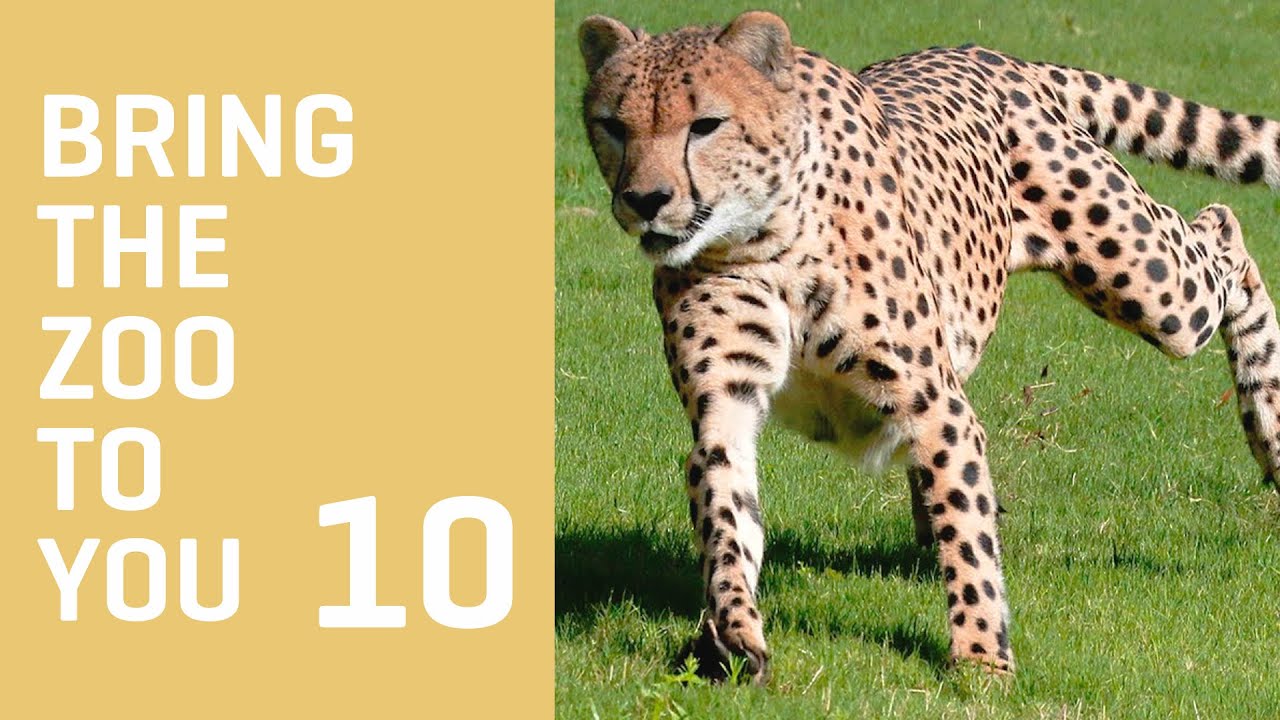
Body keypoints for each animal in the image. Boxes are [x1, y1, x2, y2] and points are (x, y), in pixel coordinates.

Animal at [576, 10, 1280, 681]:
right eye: (614, 126)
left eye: (706, 125)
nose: (646, 200)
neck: (762, 237)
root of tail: (992, 55)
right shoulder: (725, 402)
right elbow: (727, 517)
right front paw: (733, 635)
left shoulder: (935, 405)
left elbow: (967, 541)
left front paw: (982, 663)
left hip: (1153, 286)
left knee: (1225, 235)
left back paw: (1268, 431)